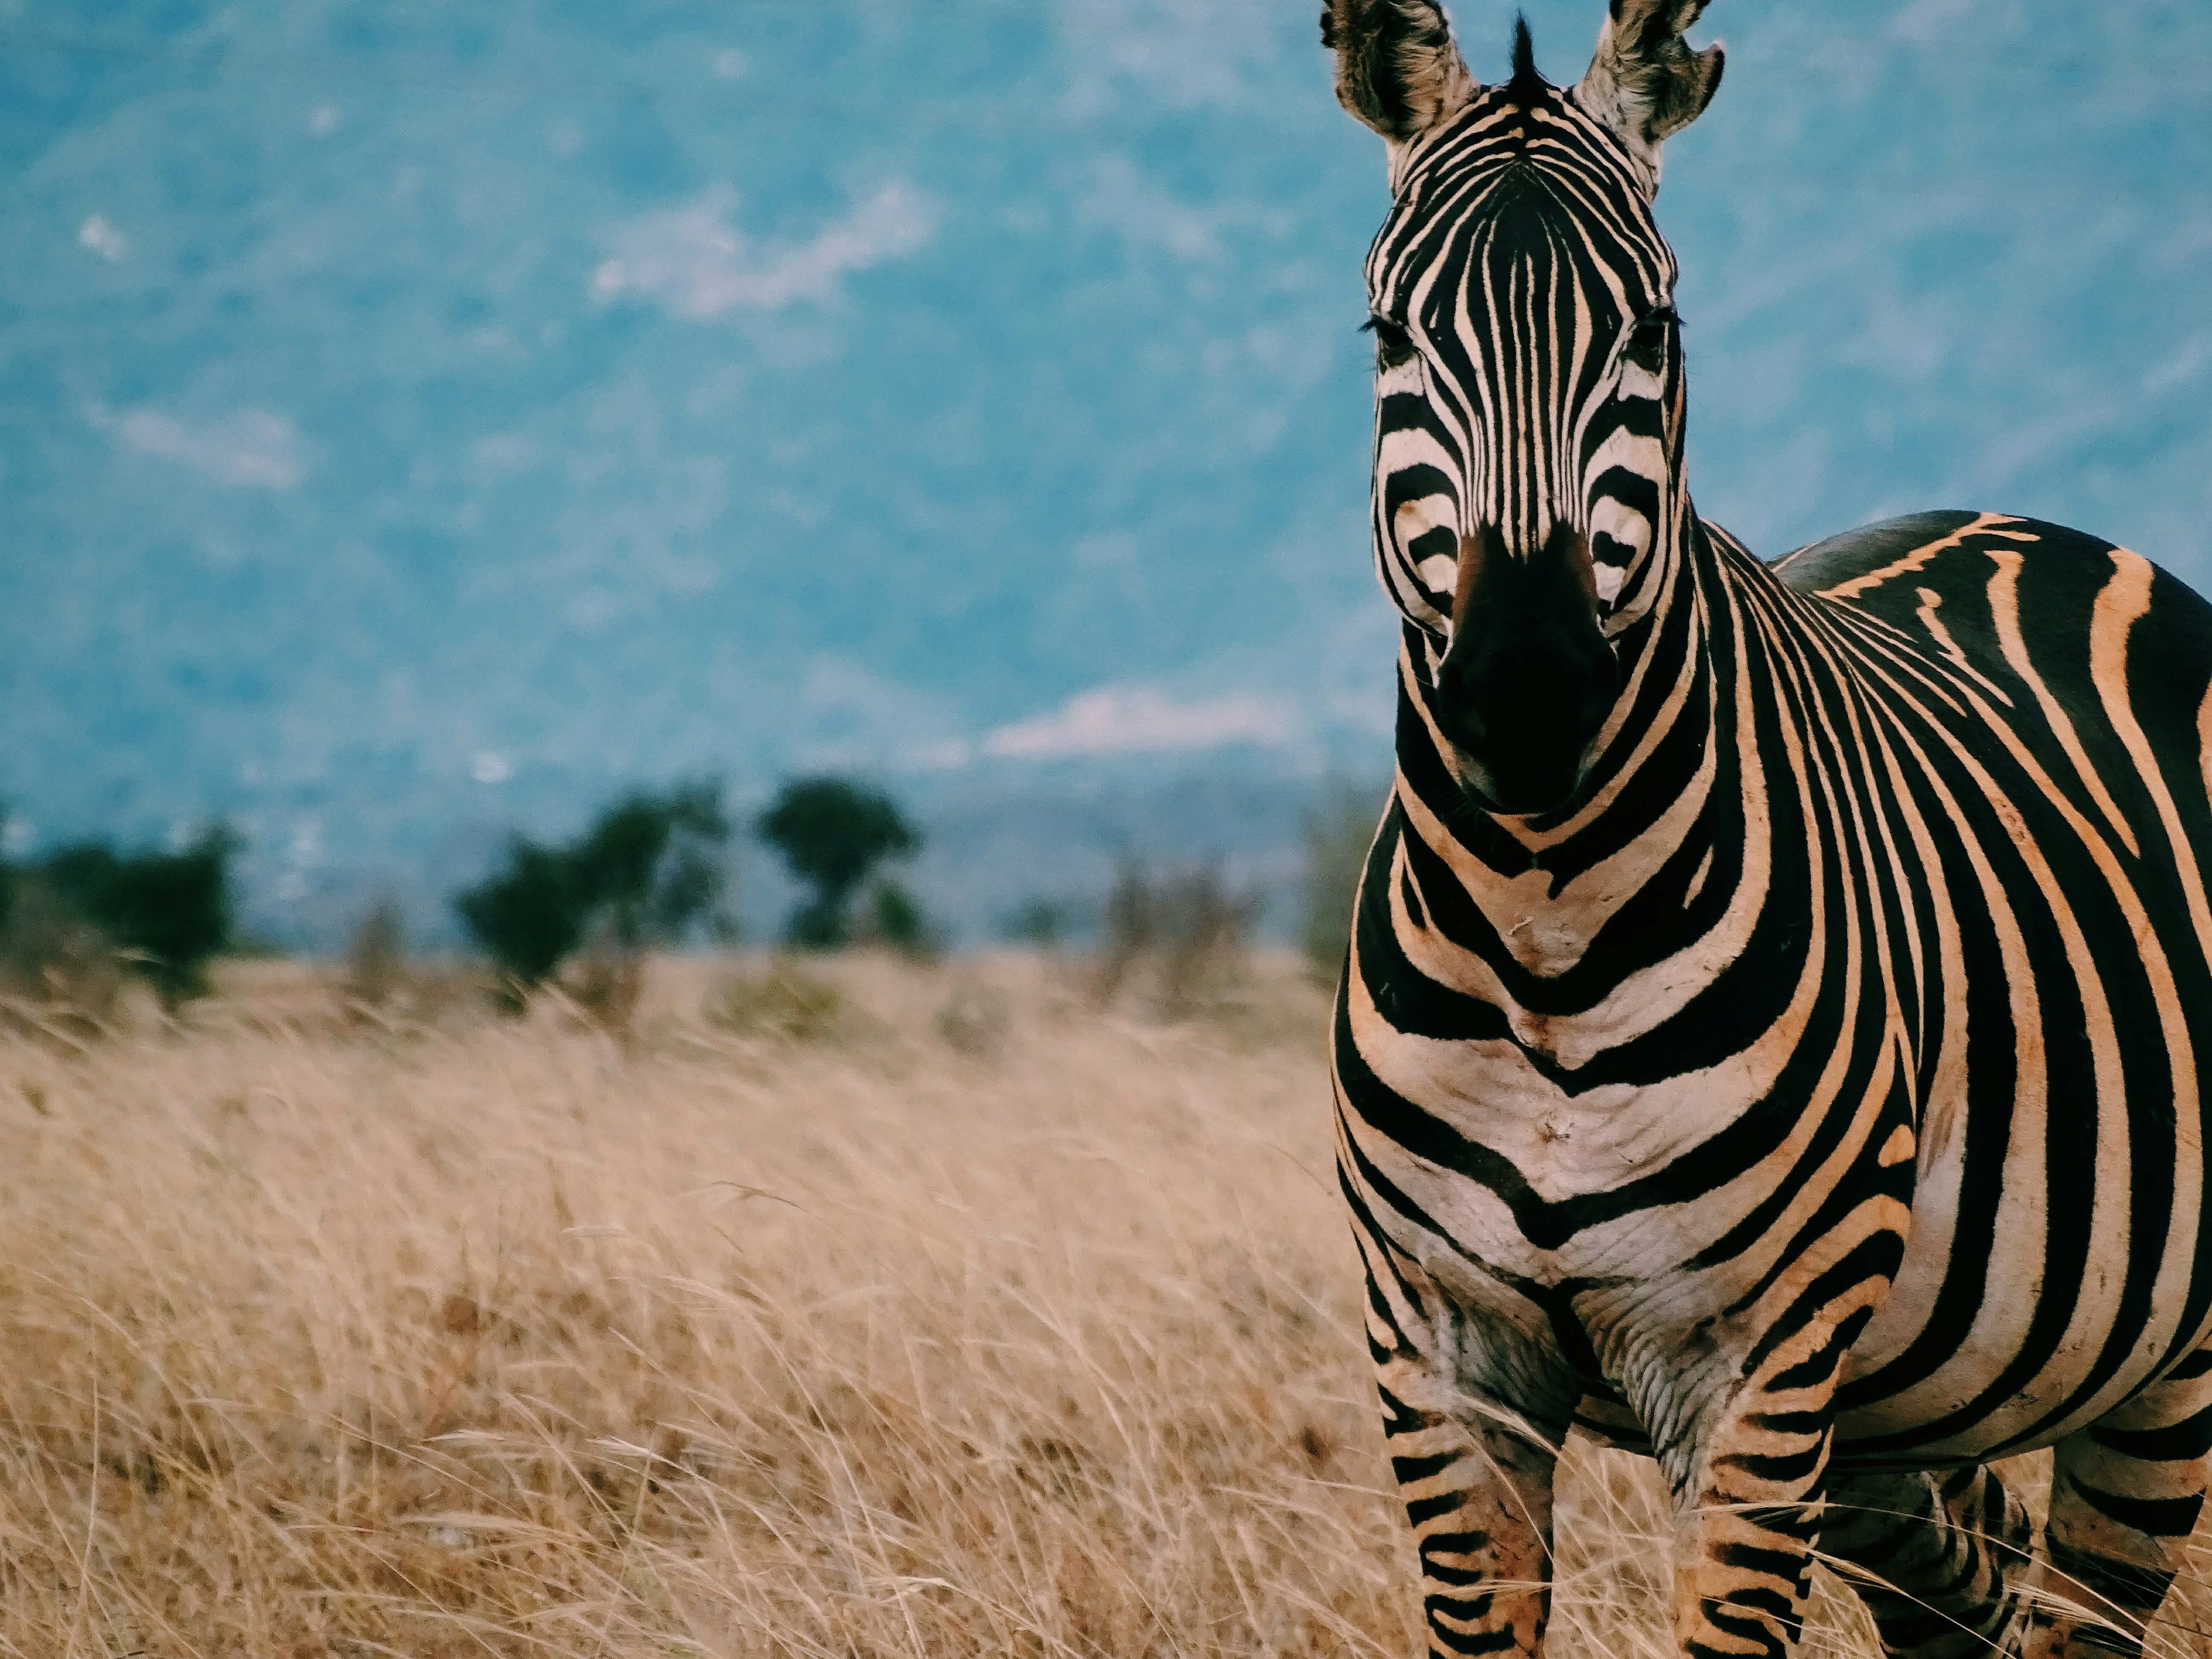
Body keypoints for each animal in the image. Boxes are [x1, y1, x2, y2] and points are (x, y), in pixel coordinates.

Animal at [1315, 3, 2212, 1656]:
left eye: (1654, 332)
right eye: (1391, 340)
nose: (1526, 692)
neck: (1540, 916)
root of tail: (2032, 529)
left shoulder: (1755, 1362)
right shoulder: (1436, 1354)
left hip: (2143, 1358)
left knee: (2080, 1607)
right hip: (1903, 1404)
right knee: (1970, 1585)